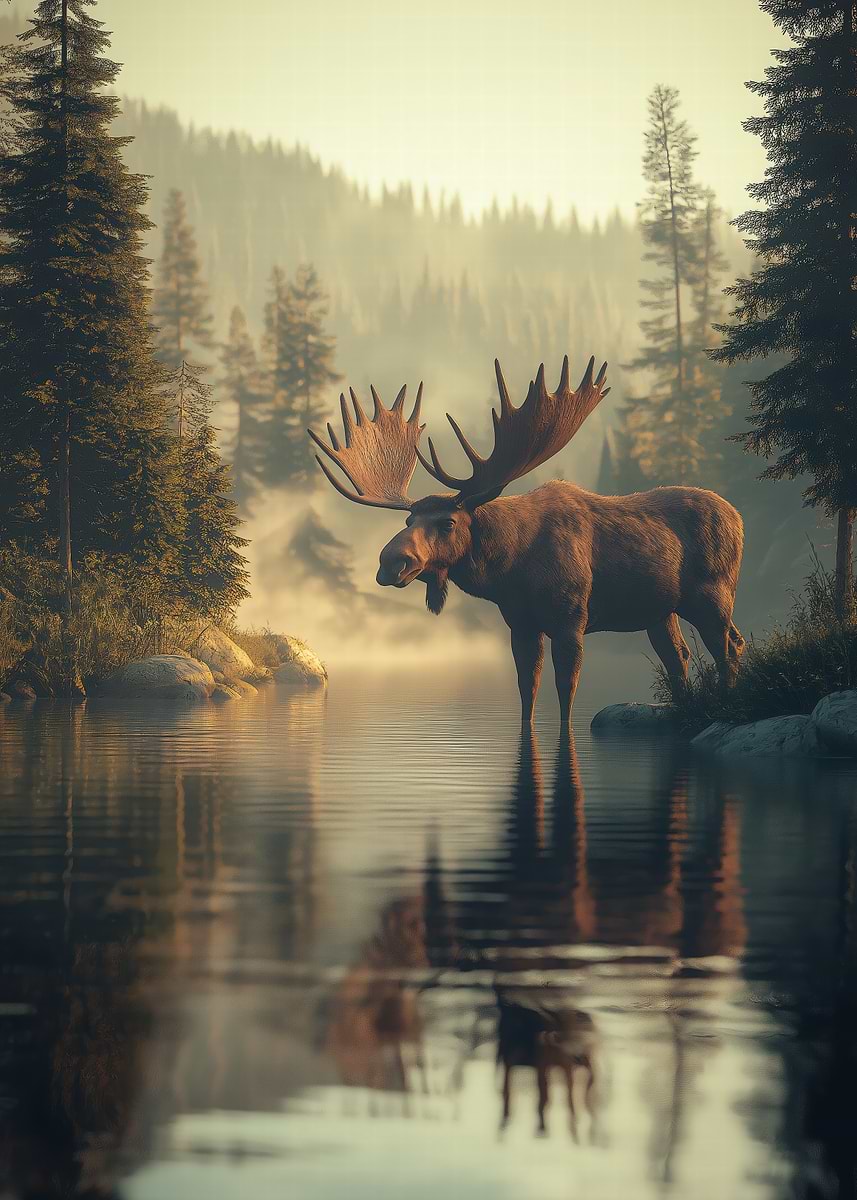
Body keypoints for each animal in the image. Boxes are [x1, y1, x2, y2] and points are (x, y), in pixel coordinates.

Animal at [309, 355, 745, 726]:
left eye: (448, 522)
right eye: (409, 518)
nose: (389, 562)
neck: (511, 569)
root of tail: (739, 518)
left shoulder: (571, 619)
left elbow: (566, 693)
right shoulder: (520, 623)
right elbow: (526, 691)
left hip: (713, 595)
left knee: (726, 648)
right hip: (661, 610)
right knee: (681, 655)